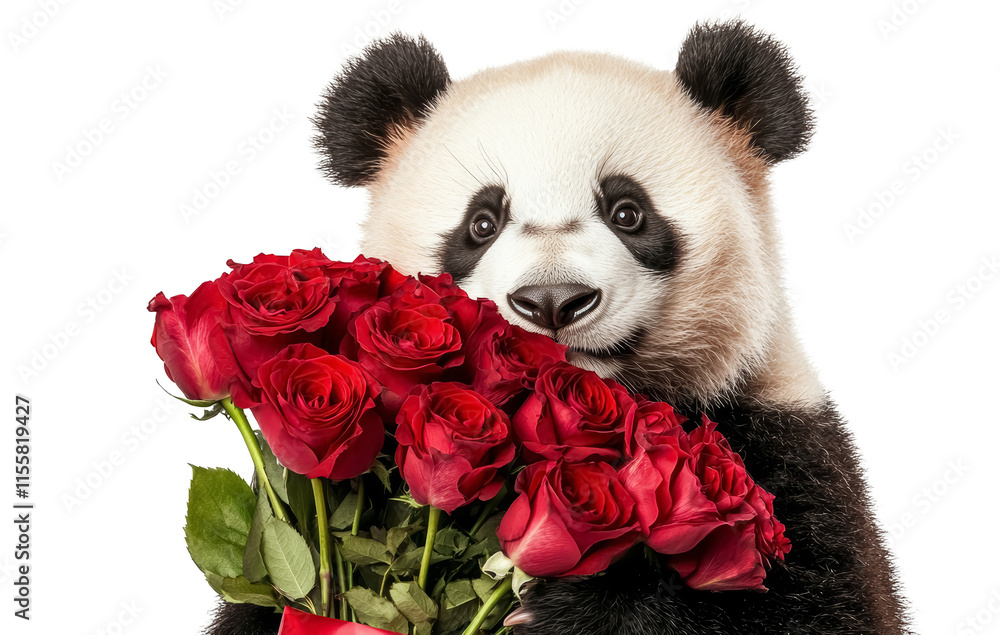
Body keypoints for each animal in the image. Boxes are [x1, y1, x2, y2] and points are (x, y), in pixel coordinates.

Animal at [208, 20, 909, 635]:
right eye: (482, 223)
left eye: (628, 212)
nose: (552, 301)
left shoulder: (784, 450)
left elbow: (812, 606)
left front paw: (566, 611)